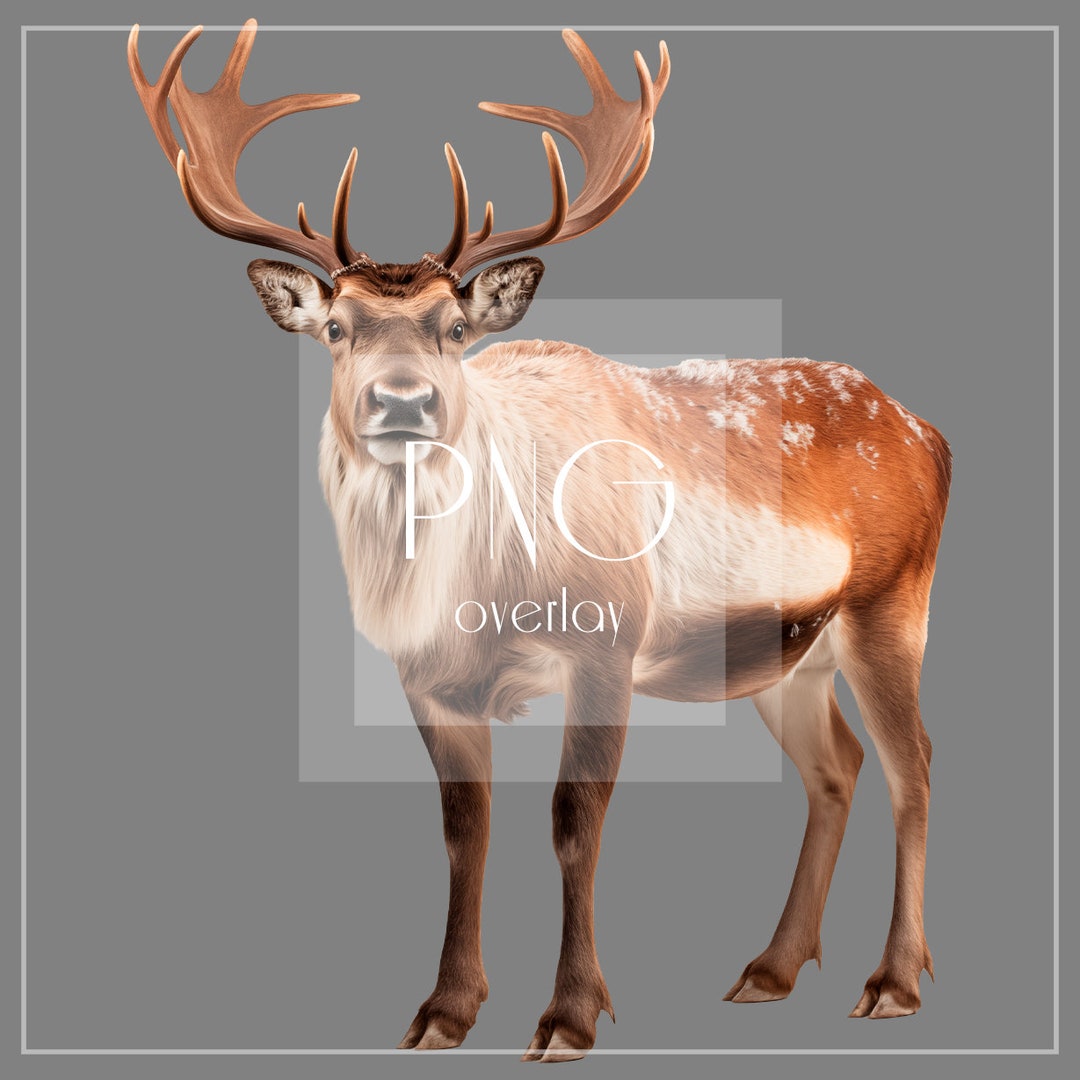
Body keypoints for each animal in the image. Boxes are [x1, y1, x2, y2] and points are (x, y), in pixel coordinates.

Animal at [128, 21, 952, 1061]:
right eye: (339, 329)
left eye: (452, 327)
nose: (403, 401)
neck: (477, 588)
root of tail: (929, 433)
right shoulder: (425, 677)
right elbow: (463, 826)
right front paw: (442, 1010)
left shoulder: (608, 639)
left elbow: (573, 818)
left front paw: (568, 1016)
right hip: (788, 649)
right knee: (835, 766)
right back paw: (768, 969)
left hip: (894, 599)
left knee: (913, 764)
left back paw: (893, 982)